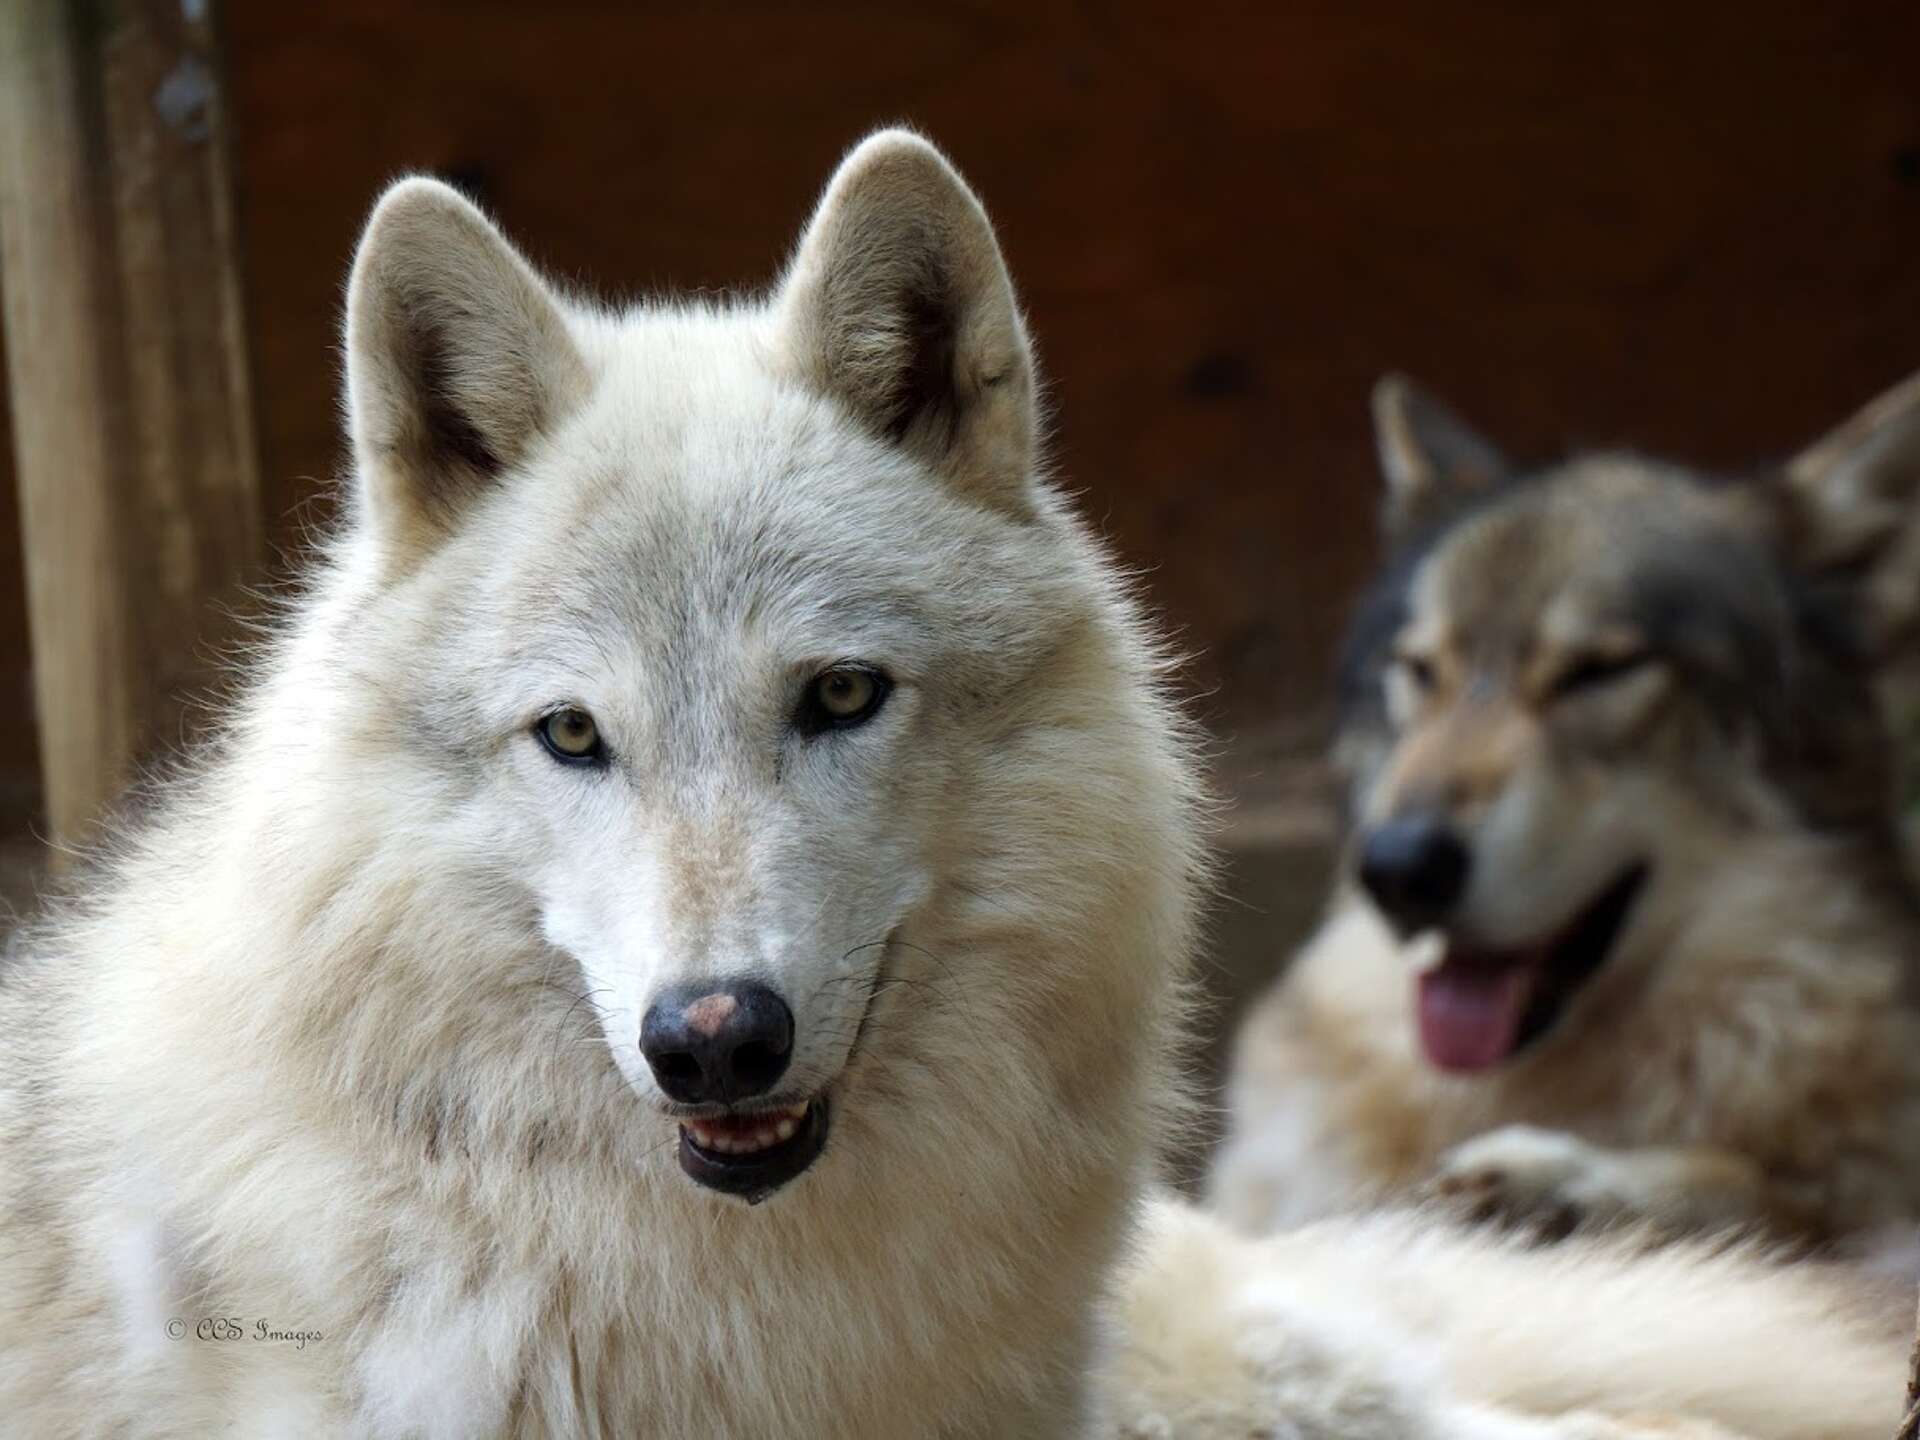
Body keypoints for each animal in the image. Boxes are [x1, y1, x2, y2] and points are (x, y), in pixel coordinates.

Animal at [1209, 369, 1920, 1249]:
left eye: (1599, 670)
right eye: (1421, 670)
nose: (1398, 867)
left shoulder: (1863, 1198)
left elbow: (1751, 1190)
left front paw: (1559, 1181)